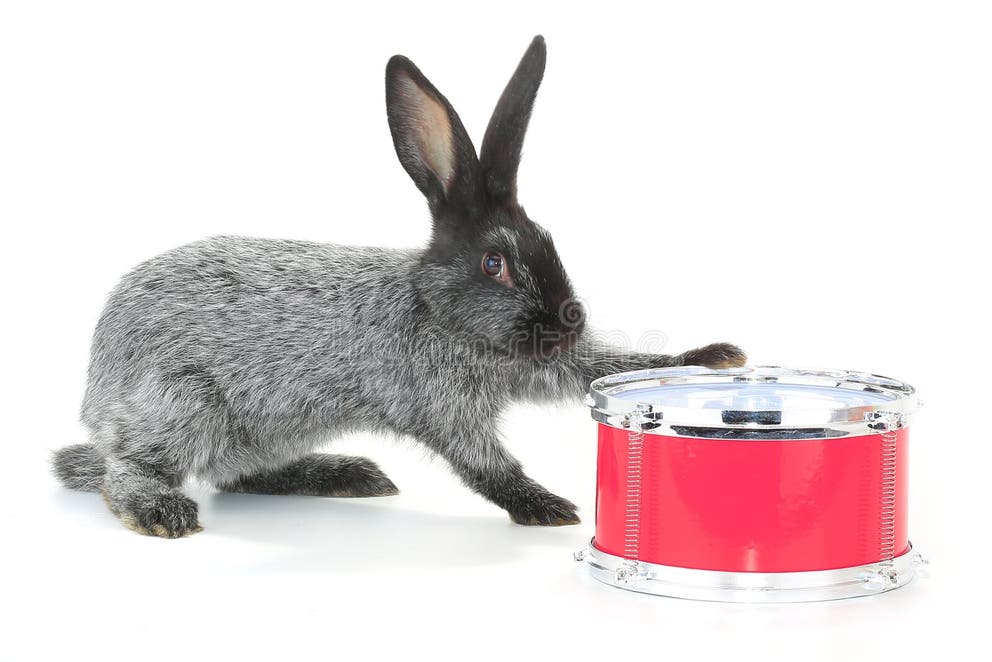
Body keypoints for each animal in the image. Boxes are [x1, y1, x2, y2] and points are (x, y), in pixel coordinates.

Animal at [51, 35, 745, 538]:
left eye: (549, 241)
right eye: (494, 263)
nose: (562, 328)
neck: (438, 312)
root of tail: (95, 393)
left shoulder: (536, 367)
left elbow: (605, 367)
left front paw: (716, 358)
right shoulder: (442, 404)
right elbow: (485, 463)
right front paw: (545, 506)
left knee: (233, 475)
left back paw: (345, 473)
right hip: (184, 406)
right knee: (129, 471)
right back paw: (160, 512)